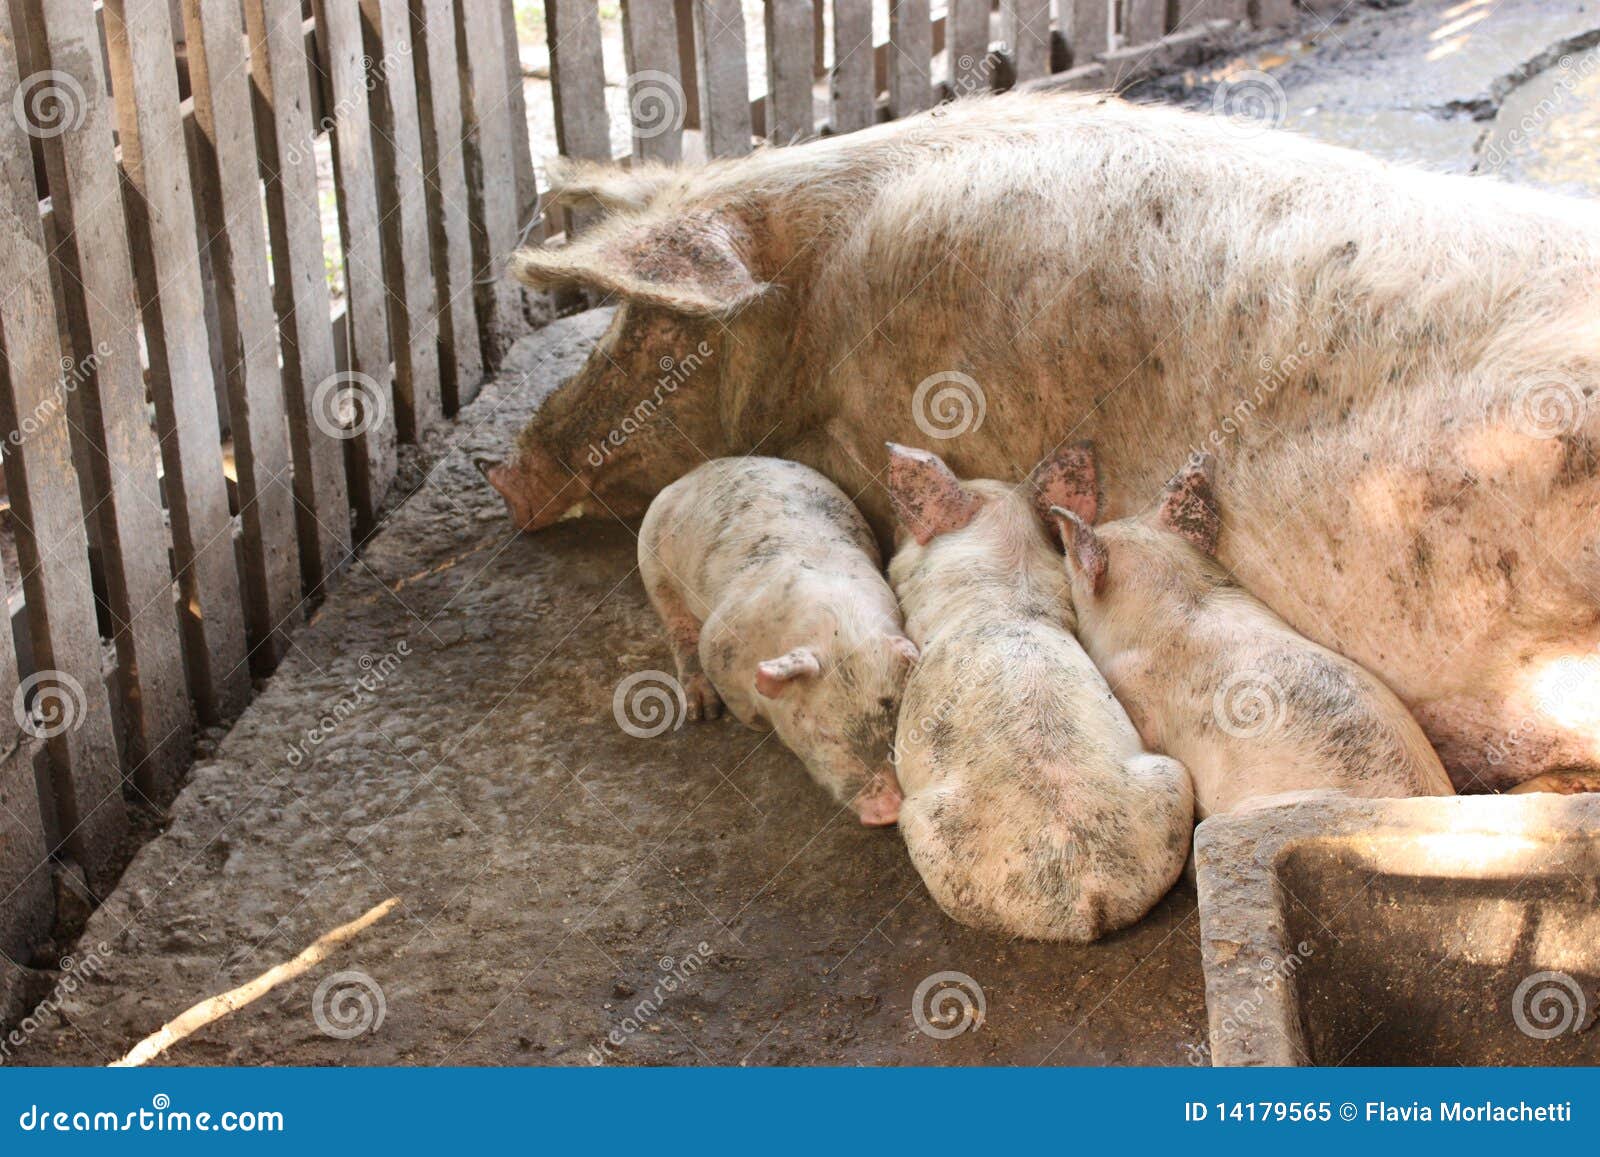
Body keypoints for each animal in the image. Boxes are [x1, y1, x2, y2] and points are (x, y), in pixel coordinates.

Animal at [637, 456, 916, 825]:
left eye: (894, 728)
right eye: (824, 733)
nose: (888, 810)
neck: (840, 628)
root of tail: (698, 471)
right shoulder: (717, 643)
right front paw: (748, 722)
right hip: (652, 560)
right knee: (676, 623)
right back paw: (701, 710)